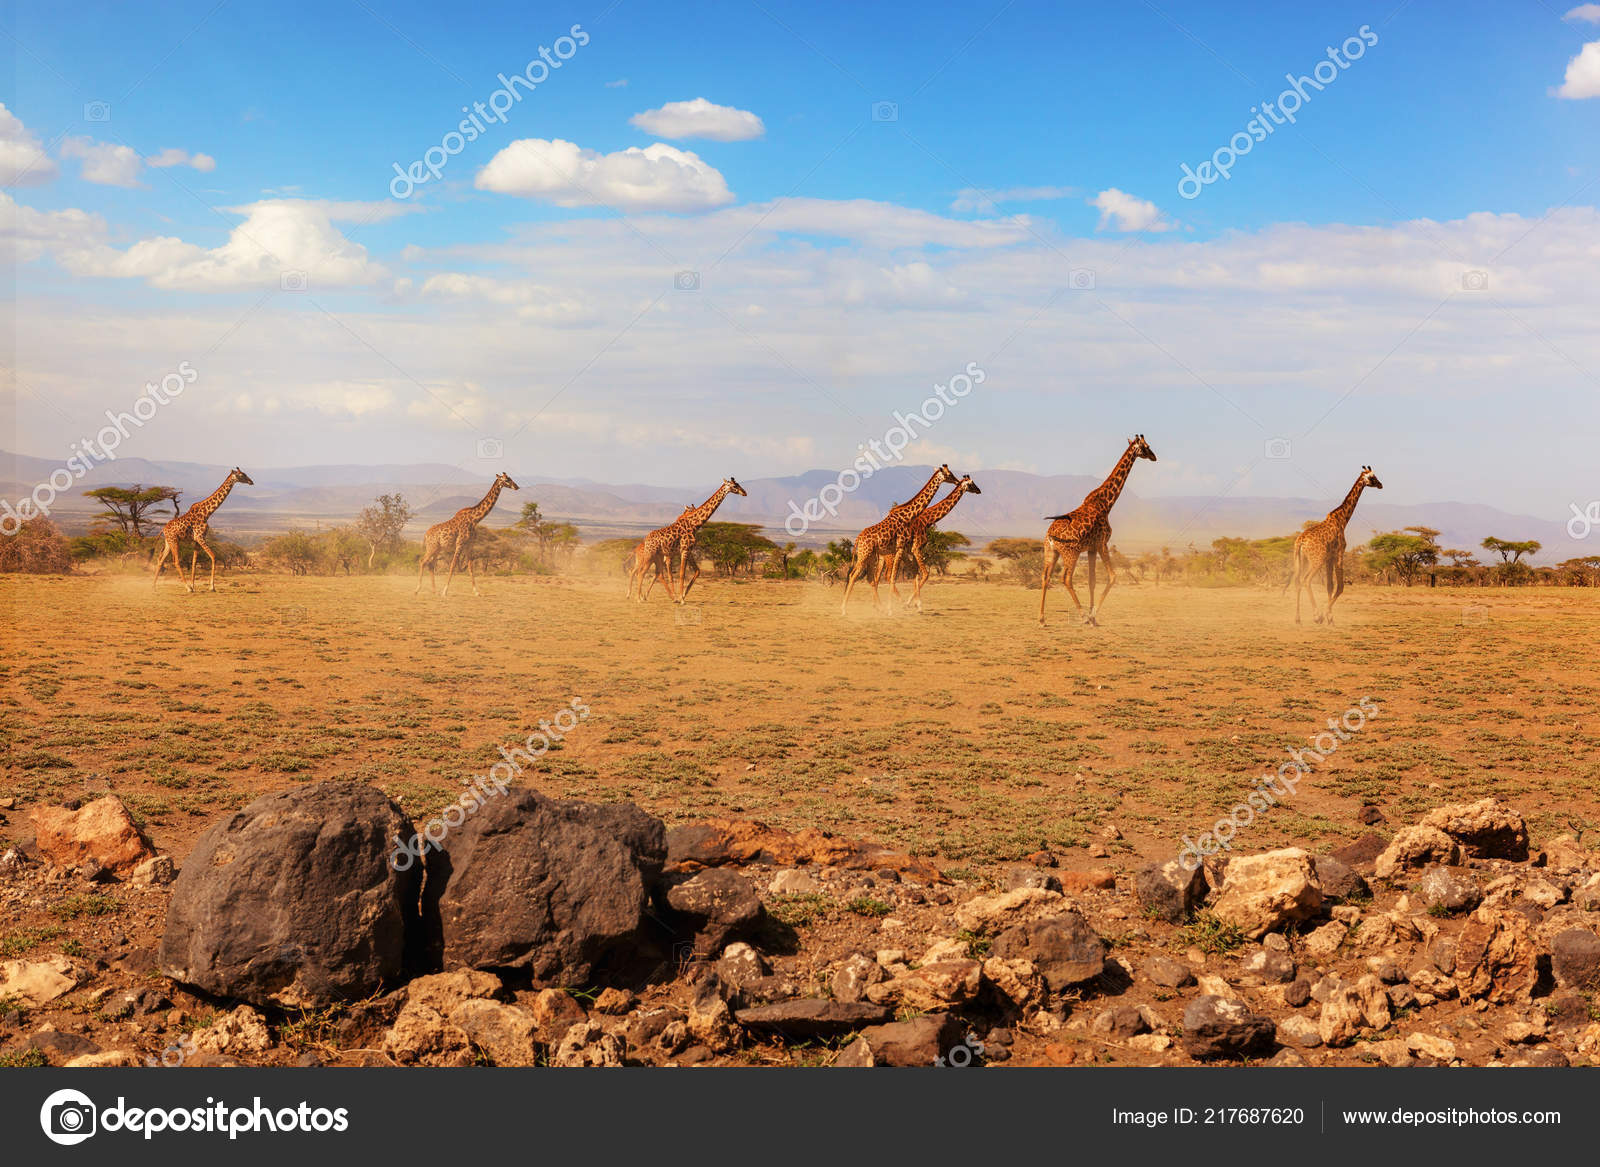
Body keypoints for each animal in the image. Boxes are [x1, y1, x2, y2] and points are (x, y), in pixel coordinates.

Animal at [839, 464, 961, 614]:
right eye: (949, 474)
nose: (957, 481)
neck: (907, 515)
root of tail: (857, 540)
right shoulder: (902, 547)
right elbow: (894, 577)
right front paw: (895, 608)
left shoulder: (902, 549)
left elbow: (904, 574)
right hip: (864, 555)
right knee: (853, 576)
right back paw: (845, 609)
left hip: (871, 556)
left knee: (870, 578)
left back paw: (879, 607)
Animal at [901, 474, 981, 612]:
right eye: (971, 483)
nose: (979, 490)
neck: (927, 520)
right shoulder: (916, 548)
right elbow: (925, 574)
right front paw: (914, 604)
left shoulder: (915, 550)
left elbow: (916, 574)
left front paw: (915, 603)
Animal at [1038, 435, 1157, 625]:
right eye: (1146, 446)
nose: (1154, 457)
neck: (1107, 504)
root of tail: (1050, 535)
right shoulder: (1102, 543)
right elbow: (1113, 576)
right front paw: (1092, 616)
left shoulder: (1092, 548)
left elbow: (1091, 580)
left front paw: (1094, 618)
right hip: (1071, 553)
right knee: (1066, 578)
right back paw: (1082, 616)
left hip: (1051, 552)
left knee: (1045, 577)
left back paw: (1042, 619)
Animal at [1288, 465, 1382, 625]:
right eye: (1372, 477)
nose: (1380, 484)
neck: (1343, 520)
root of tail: (1300, 542)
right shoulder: (1338, 553)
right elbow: (1340, 587)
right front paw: (1328, 616)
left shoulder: (1329, 558)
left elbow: (1329, 586)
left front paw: (1329, 617)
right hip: (1316, 560)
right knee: (1306, 580)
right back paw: (1316, 615)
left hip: (1302, 560)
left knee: (1298, 582)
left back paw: (1297, 618)